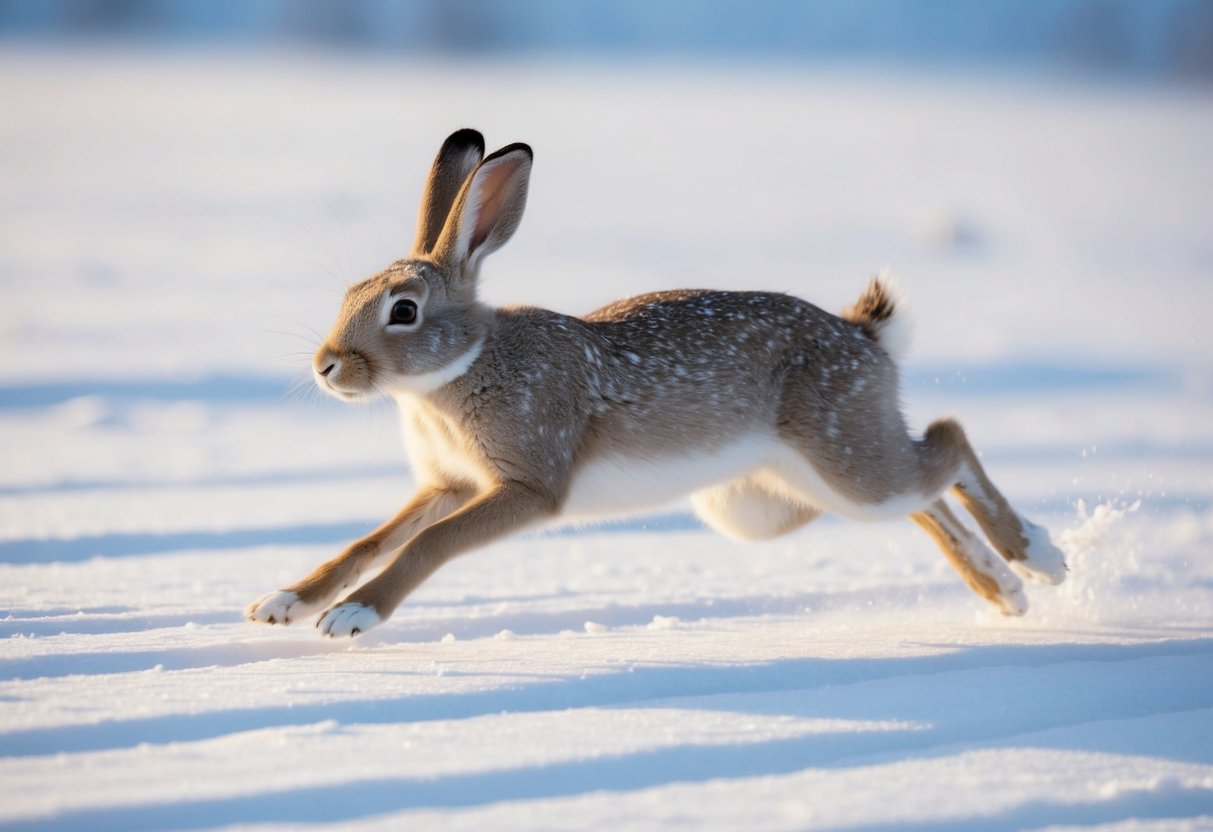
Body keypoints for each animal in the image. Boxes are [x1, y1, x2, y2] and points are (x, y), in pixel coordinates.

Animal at [247, 128, 1068, 638]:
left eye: (404, 311)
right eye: (350, 294)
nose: (326, 365)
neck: (467, 362)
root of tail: (866, 337)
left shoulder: (526, 486)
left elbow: (428, 545)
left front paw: (351, 619)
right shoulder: (448, 483)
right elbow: (373, 538)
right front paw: (283, 603)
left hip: (843, 462)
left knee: (947, 444)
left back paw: (1038, 557)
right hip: (780, 498)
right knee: (924, 495)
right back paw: (1004, 590)